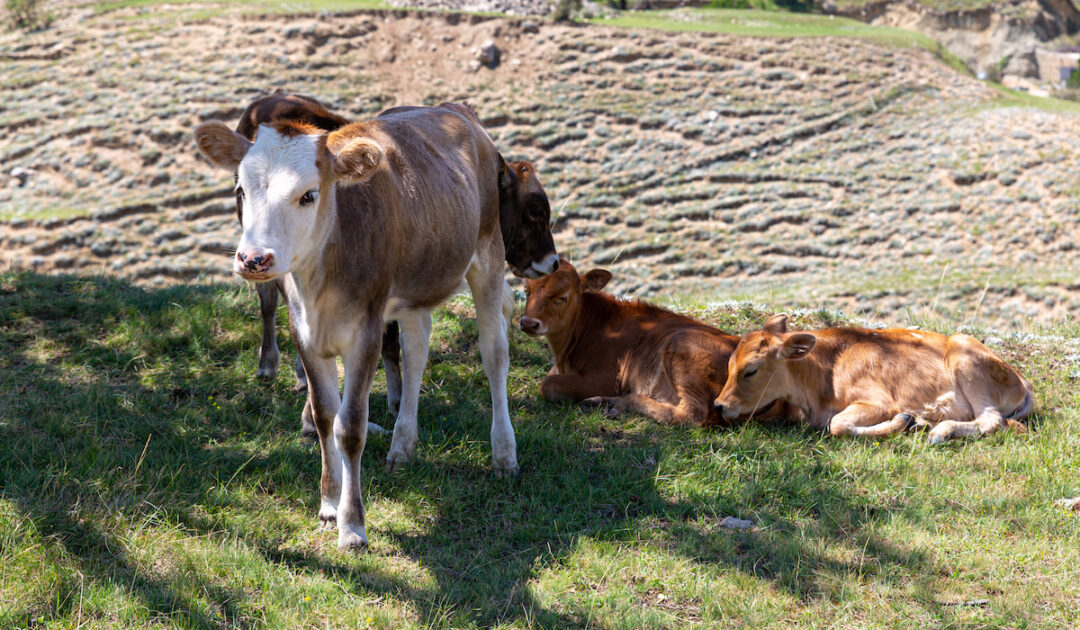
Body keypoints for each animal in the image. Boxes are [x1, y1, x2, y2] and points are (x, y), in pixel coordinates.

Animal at [194, 103, 553, 550]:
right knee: (416, 353)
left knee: (494, 353)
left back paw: (504, 454)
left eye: (308, 195)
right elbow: (324, 416)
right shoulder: (304, 333)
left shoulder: (365, 329)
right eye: (241, 191)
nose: (254, 259)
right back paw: (402, 445)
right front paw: (329, 505)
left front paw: (353, 526)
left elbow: (350, 427)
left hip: (487, 255)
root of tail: (454, 109)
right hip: (415, 286)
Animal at [518, 260, 781, 426]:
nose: (529, 323)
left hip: (682, 349)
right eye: (527, 290)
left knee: (691, 415)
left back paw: (614, 402)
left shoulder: (603, 378)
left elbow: (547, 385)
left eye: (562, 297)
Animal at [712, 314, 1035, 444]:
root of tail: (1022, 381)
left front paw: (902, 422)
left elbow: (838, 425)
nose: (718, 405)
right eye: (729, 365)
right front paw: (909, 423)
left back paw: (938, 431)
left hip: (964, 355)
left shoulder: (878, 402)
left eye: (751, 370)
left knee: (990, 420)